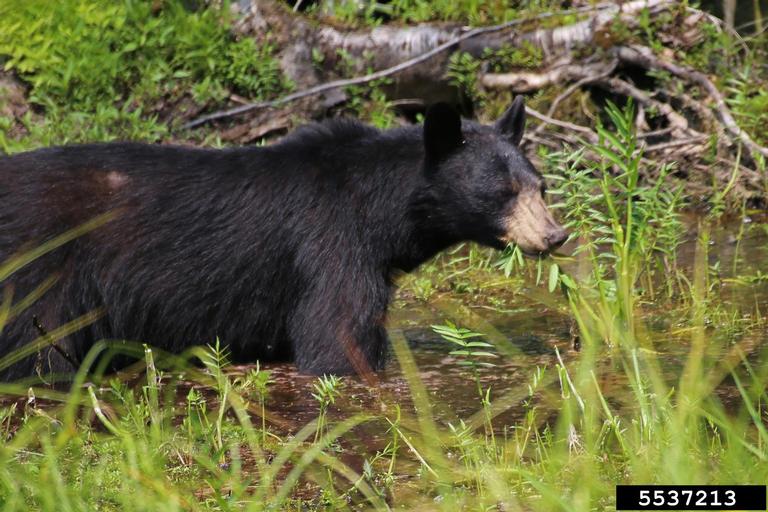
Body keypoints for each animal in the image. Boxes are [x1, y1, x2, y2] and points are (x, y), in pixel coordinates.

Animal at [0, 97, 567, 381]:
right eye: (503, 191)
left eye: (539, 185)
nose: (554, 235)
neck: (379, 210)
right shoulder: (331, 244)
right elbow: (337, 336)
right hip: (40, 277)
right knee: (37, 353)